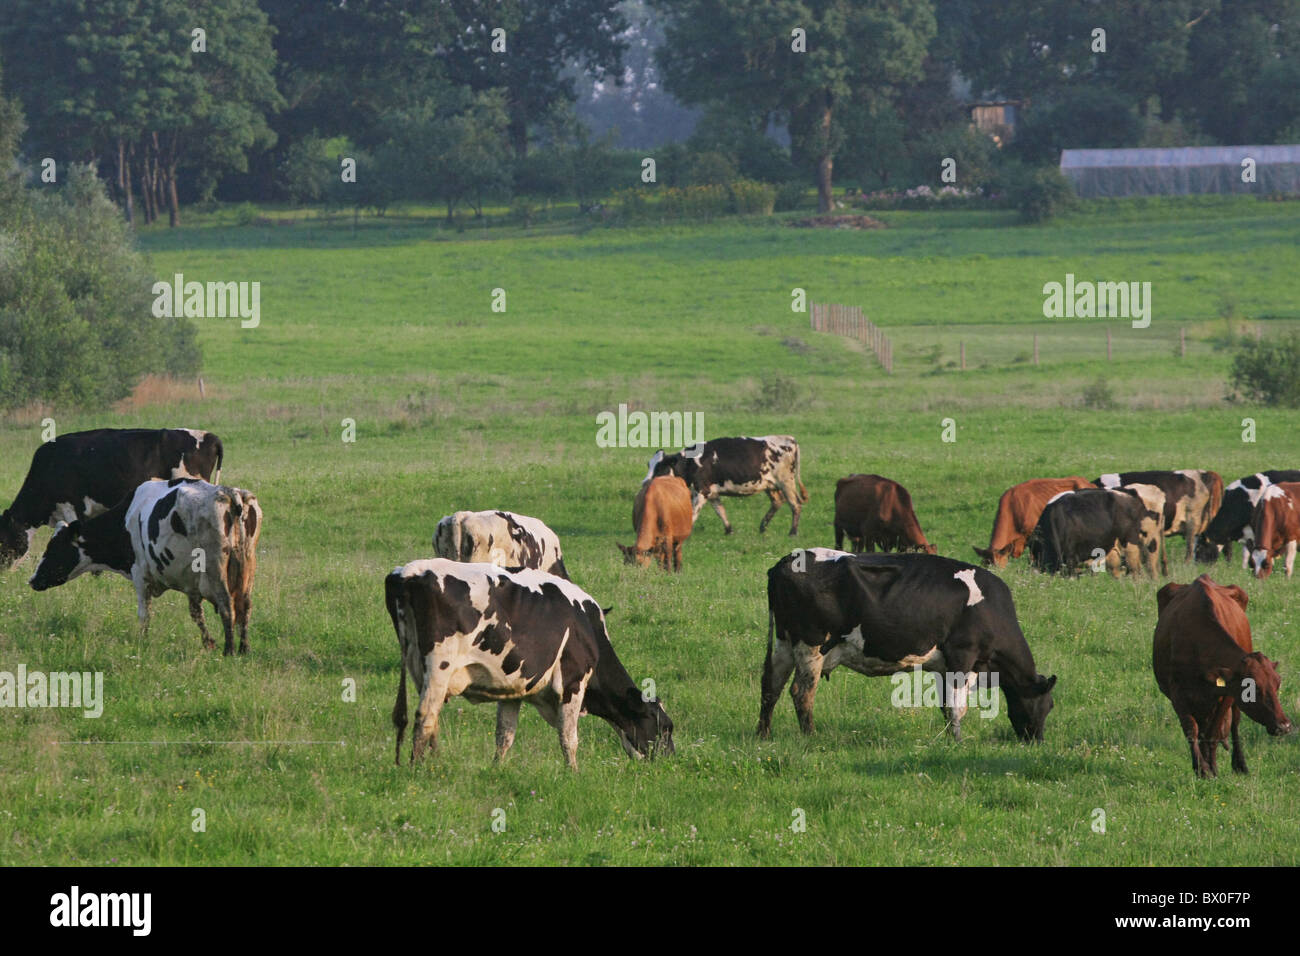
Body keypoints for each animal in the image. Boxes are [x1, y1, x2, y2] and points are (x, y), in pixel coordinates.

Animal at [29, 478, 262, 655]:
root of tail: (230, 493)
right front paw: (208, 643)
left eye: (53, 548)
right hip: (248, 569)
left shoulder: (140, 575)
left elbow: (144, 614)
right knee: (245, 607)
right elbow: (197, 614)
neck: (127, 517)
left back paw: (229, 651)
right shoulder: (191, 583)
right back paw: (244, 649)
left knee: (227, 607)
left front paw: (142, 641)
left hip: (215, 569)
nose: (32, 580)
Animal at [386, 559, 674, 769]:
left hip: (418, 668)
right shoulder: (573, 681)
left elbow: (505, 735)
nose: (670, 760)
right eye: (665, 727)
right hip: (439, 666)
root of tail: (409, 573)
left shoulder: (511, 688)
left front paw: (497, 769)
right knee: (425, 716)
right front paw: (573, 774)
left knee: (431, 719)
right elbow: (569, 737)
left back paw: (435, 763)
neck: (588, 628)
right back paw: (419, 770)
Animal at [647, 435, 807, 535]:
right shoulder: (711, 493)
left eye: (660, 468)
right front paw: (729, 530)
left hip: (786, 482)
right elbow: (720, 511)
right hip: (770, 485)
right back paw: (762, 528)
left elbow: (693, 512)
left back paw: (793, 532)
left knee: (795, 504)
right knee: (777, 502)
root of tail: (789, 439)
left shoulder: (702, 491)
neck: (691, 463)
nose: (645, 482)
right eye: (649, 465)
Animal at [757, 549, 1056, 743]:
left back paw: (764, 734)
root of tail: (785, 562)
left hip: (784, 645)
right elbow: (957, 706)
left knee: (771, 687)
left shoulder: (943, 666)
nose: (1038, 741)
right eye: (1049, 705)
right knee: (801, 693)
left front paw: (949, 739)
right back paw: (810, 737)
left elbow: (945, 705)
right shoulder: (962, 655)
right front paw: (958, 742)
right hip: (812, 646)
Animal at [1153, 575, 1292, 777]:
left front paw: (1212, 768)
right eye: (1251, 689)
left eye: (1277, 684)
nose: (1284, 726)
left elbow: (1213, 732)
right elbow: (1191, 729)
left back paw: (1239, 764)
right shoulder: (1176, 692)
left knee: (1233, 724)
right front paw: (1202, 769)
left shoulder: (1227, 693)